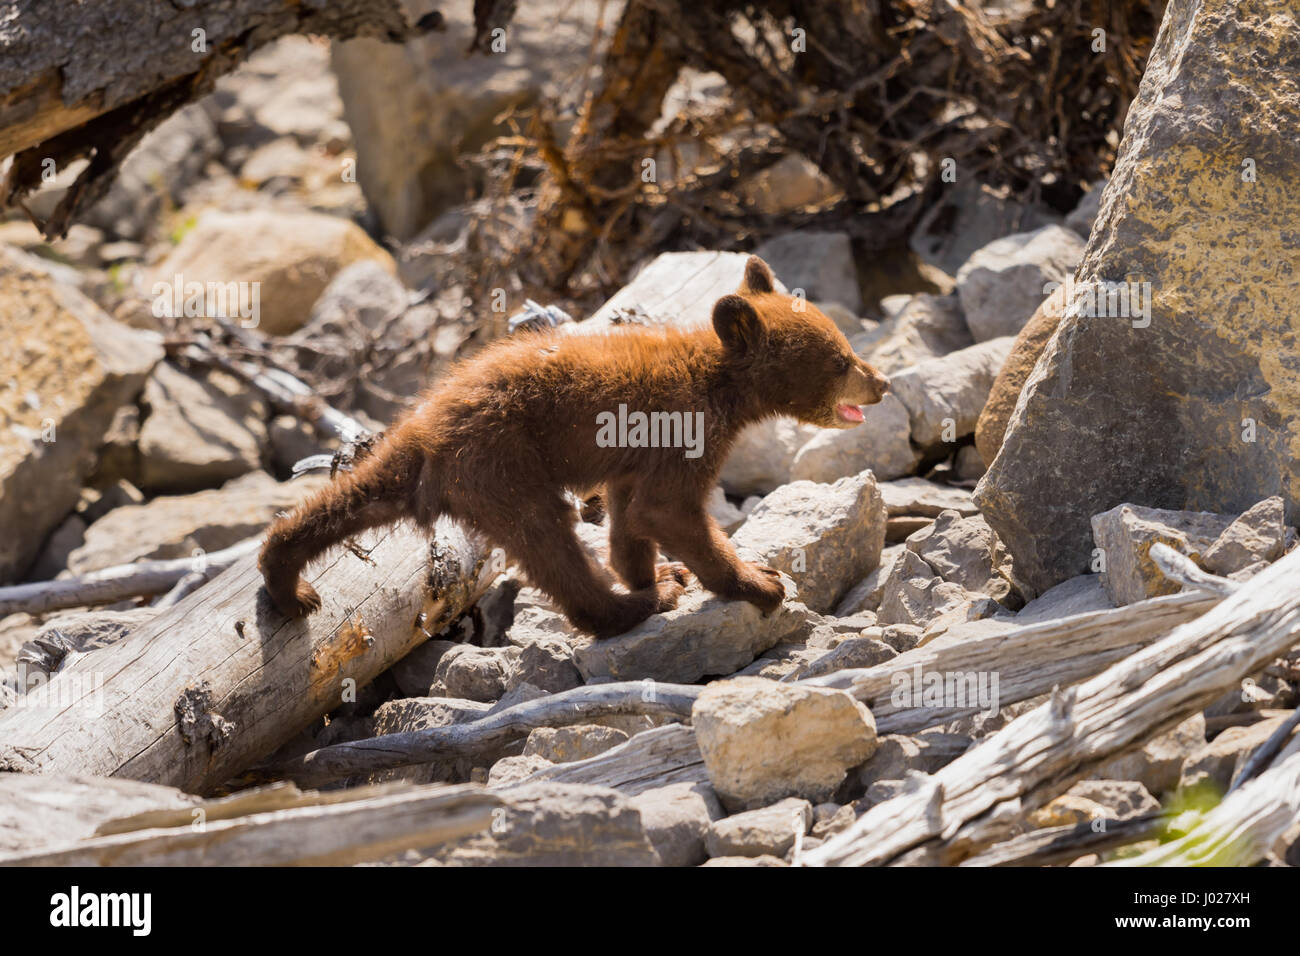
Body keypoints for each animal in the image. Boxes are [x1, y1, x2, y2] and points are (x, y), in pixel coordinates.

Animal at [259, 256, 890, 638]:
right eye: (840, 359)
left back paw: (286, 582)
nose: (881, 382)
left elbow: (631, 516)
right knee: (548, 540)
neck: (721, 383)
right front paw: (758, 581)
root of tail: (423, 428)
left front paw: (651, 570)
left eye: (846, 345)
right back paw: (632, 607)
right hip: (502, 464)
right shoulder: (685, 429)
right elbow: (670, 510)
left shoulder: (637, 457)